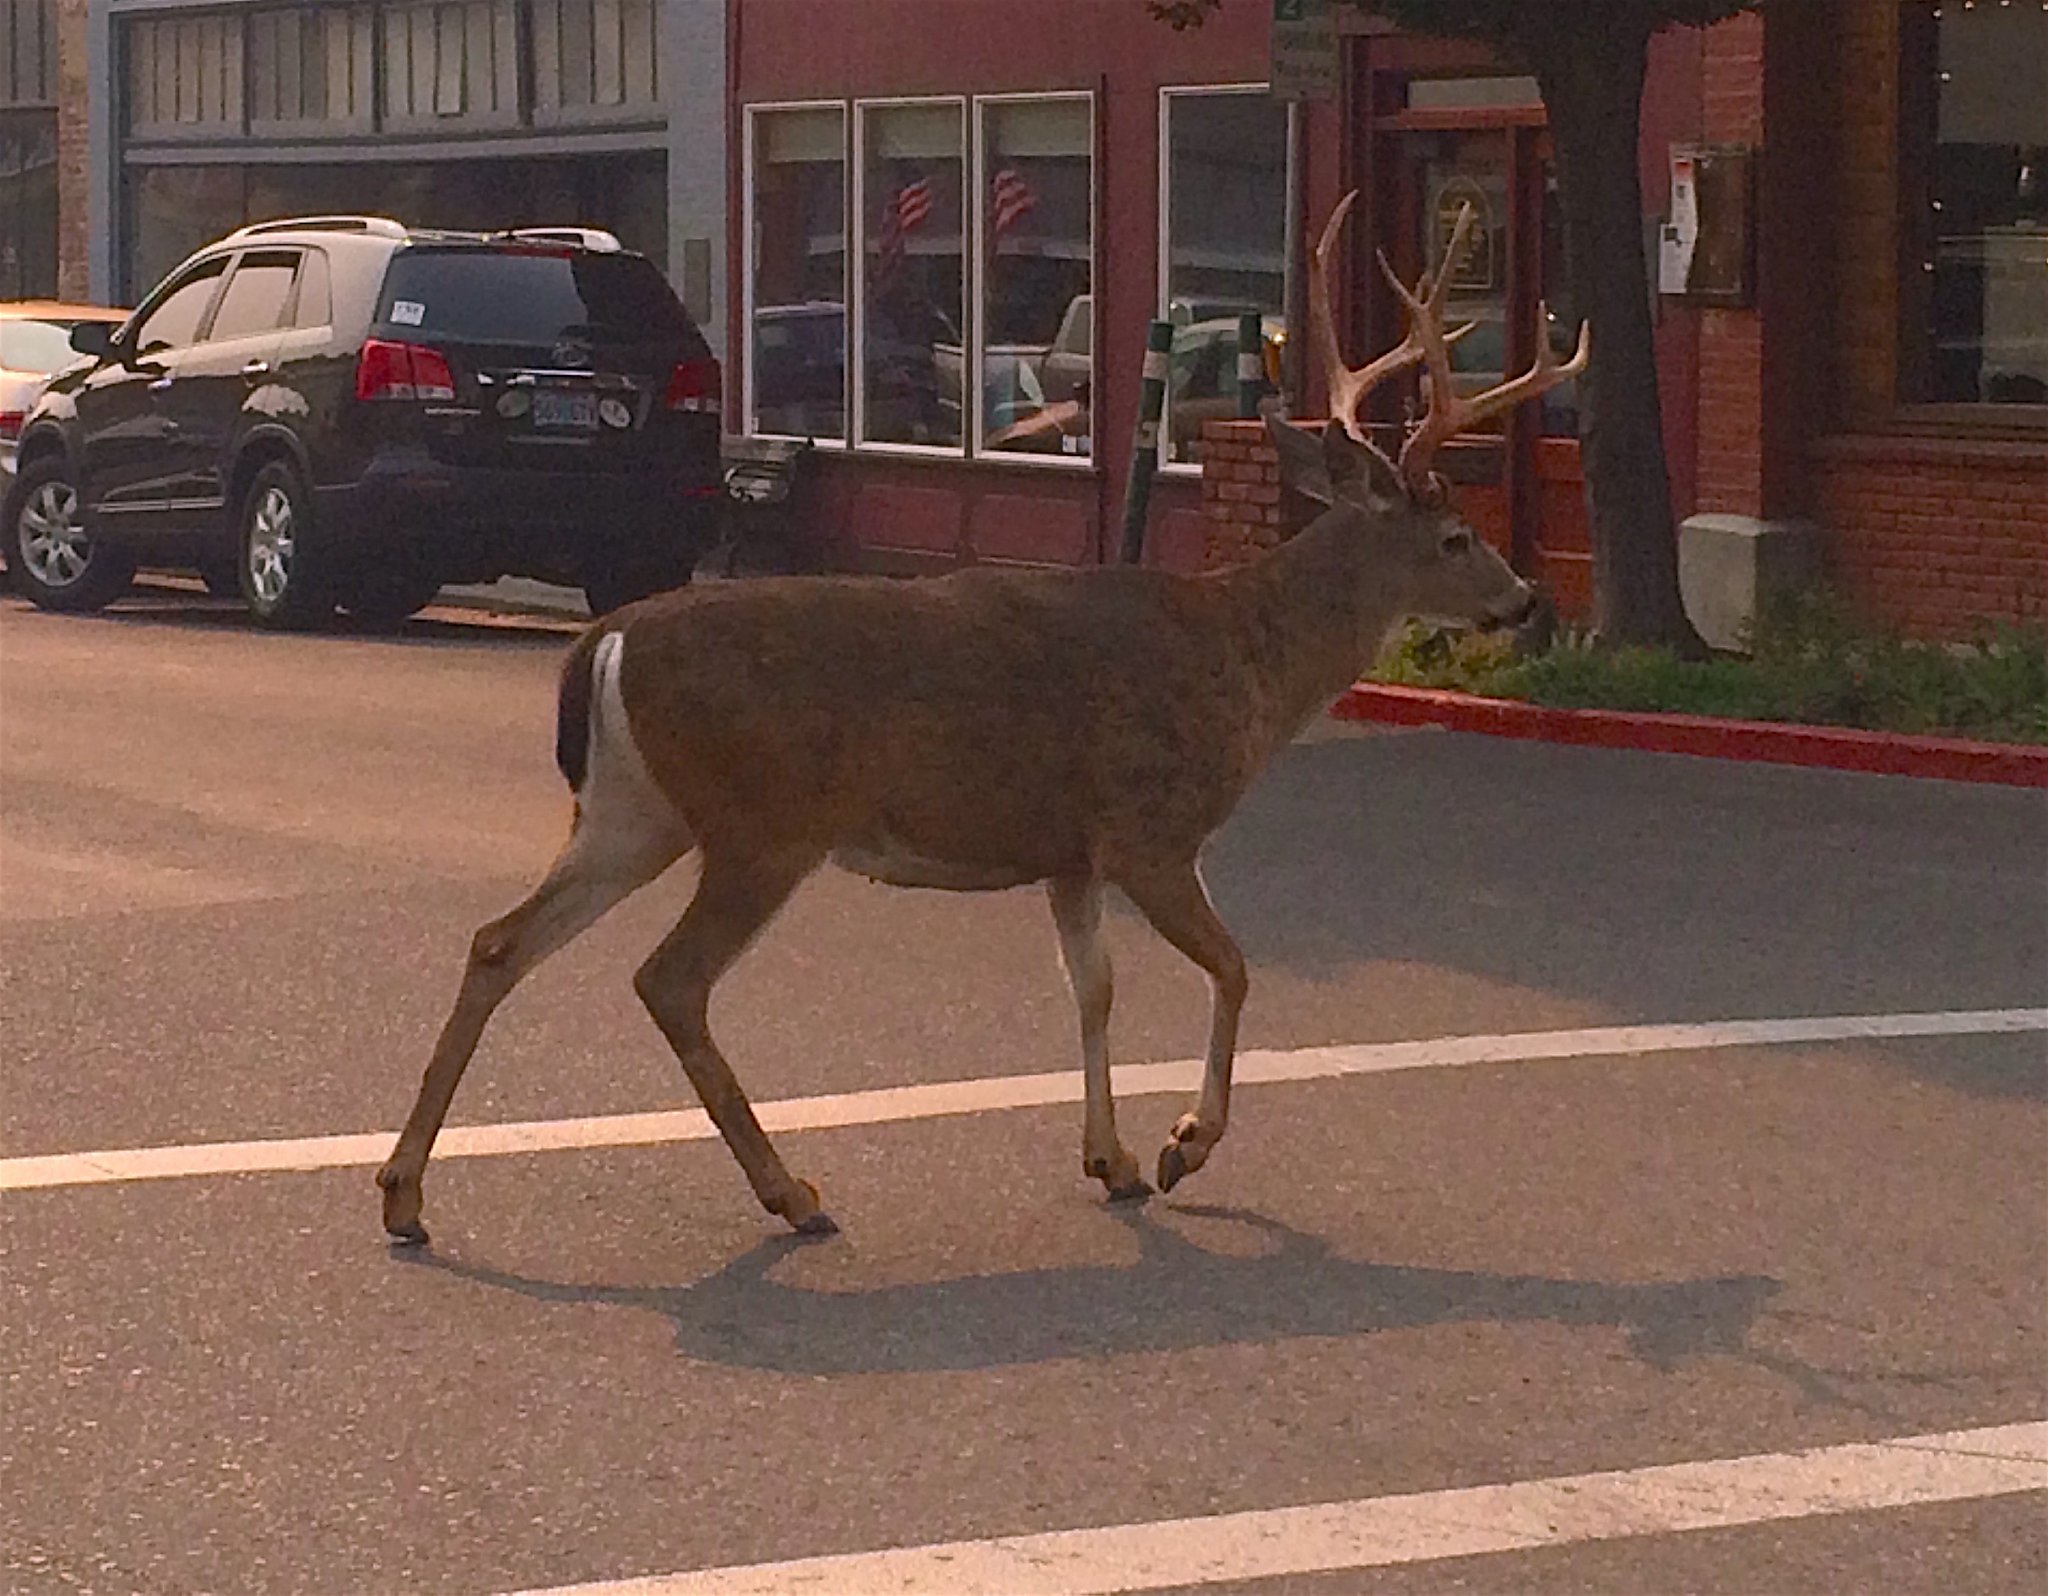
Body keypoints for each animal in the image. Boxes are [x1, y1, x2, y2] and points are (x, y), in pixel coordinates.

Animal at [376, 194, 1589, 1244]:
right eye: (1453, 538)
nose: (1526, 598)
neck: (1245, 659)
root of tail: (604, 643)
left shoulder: (1068, 850)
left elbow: (1093, 988)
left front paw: (1110, 1160)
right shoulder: (1149, 830)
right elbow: (1235, 969)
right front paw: (1182, 1145)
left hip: (635, 812)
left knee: (499, 941)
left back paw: (404, 1194)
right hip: (762, 821)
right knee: (667, 980)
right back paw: (792, 1193)